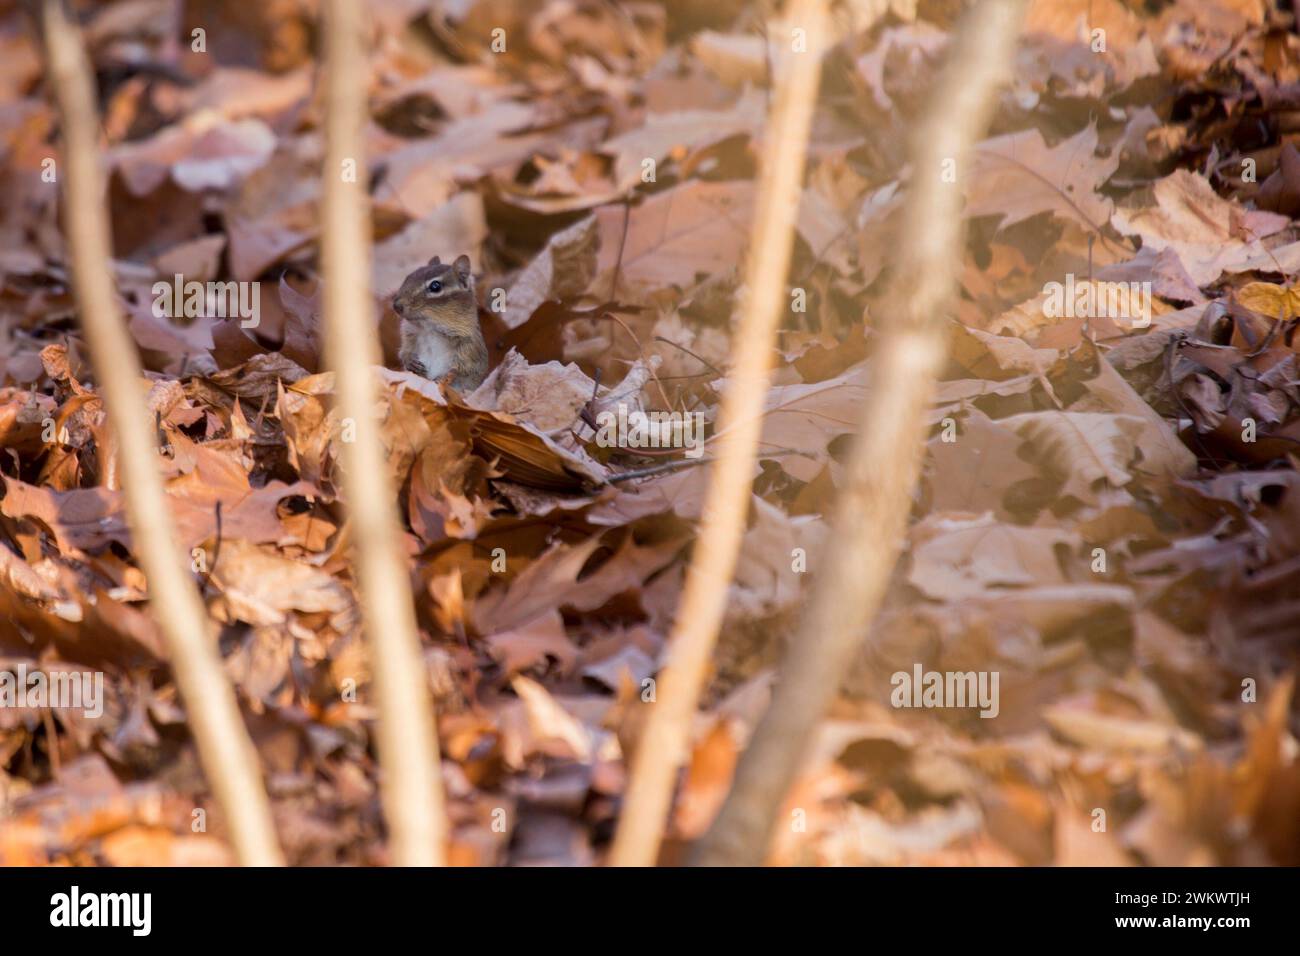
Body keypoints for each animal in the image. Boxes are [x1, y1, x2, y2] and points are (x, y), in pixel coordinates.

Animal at [392, 254, 489, 392]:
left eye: (435, 286)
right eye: (407, 278)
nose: (396, 306)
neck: (429, 330)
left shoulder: (469, 348)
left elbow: (461, 369)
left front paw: (440, 379)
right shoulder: (409, 336)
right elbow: (404, 351)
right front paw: (409, 361)